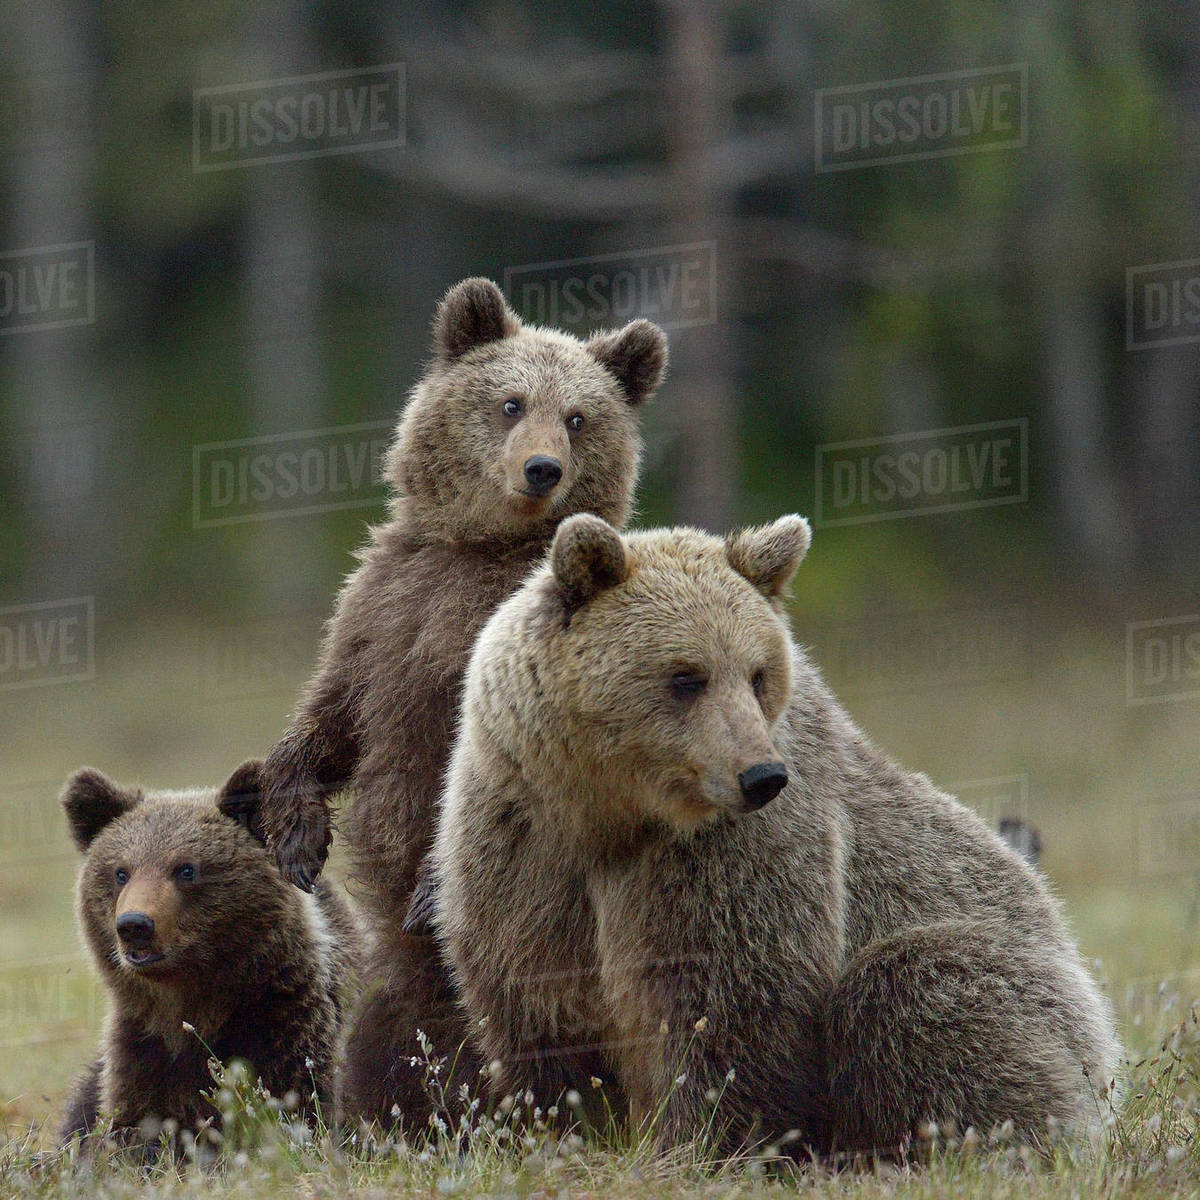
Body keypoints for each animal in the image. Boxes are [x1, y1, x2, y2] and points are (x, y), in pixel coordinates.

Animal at [58, 760, 363, 1149]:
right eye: (120, 872)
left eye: (186, 869)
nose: (134, 924)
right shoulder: (142, 1044)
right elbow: (130, 1121)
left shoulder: (285, 1024)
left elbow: (296, 1102)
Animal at [256, 277, 668, 1127]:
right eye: (511, 402)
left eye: (578, 416)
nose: (542, 469)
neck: (478, 548)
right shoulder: (384, 613)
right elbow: (331, 719)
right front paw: (298, 837)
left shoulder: (493, 638)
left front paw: (425, 886)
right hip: (398, 995)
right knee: (386, 1036)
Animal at [430, 513, 1122, 1159]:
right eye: (687, 675)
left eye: (757, 673)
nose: (761, 776)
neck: (611, 812)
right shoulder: (521, 843)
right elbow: (537, 1005)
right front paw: (561, 1128)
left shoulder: (732, 854)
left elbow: (732, 1000)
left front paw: (713, 1144)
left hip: (1025, 983)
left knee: (918, 987)